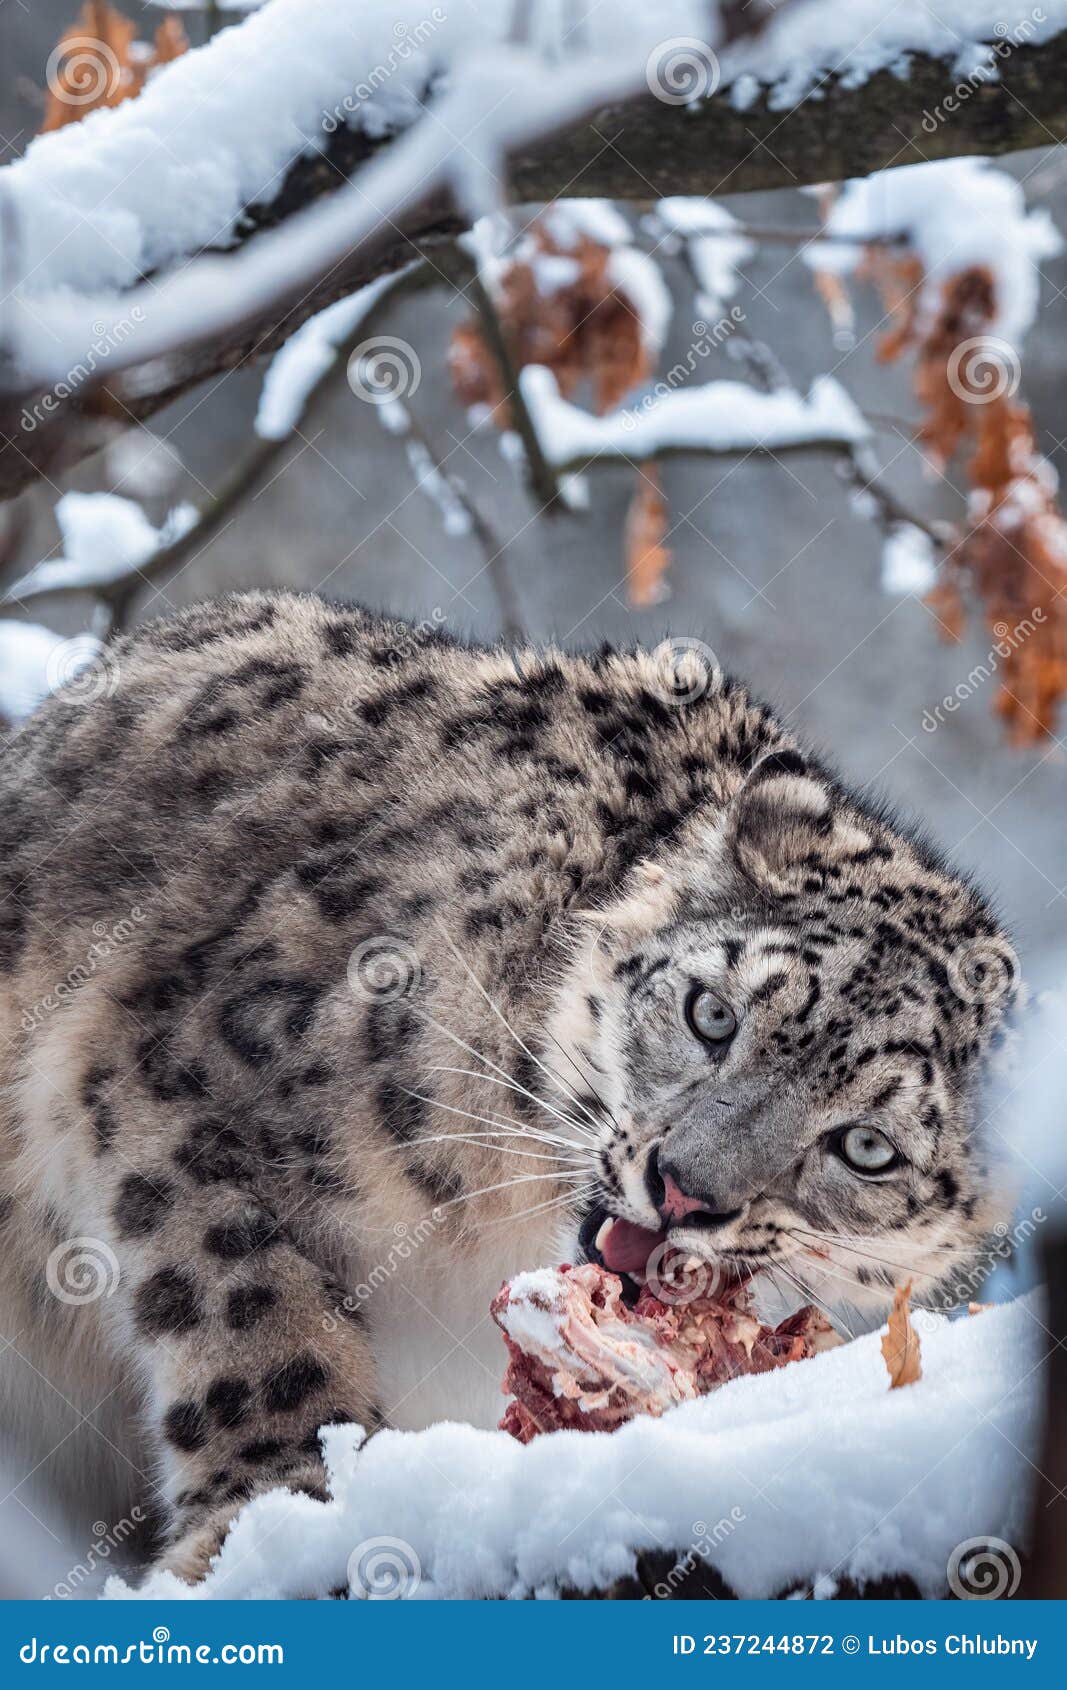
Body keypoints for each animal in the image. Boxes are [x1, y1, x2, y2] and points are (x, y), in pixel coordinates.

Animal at [0, 589, 1019, 1586]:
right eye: (712, 1014)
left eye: (865, 1147)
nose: (685, 1190)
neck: (483, 1226)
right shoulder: (176, 1064)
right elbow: (248, 1309)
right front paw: (266, 1519)